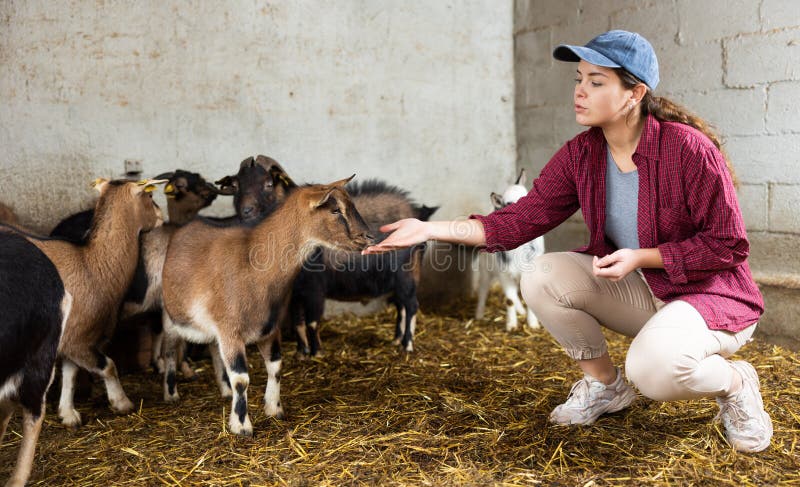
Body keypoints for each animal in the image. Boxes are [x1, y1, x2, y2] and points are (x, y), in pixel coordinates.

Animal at [14, 179, 164, 427]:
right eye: (150, 197)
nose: (162, 216)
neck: (92, 262)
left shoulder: (73, 338)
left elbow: (70, 375)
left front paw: (68, 413)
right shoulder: (79, 340)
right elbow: (109, 366)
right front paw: (122, 403)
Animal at [160, 177, 372, 436]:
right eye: (335, 210)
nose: (368, 237)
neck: (253, 266)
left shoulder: (270, 328)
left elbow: (275, 366)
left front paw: (274, 409)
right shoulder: (231, 331)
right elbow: (242, 378)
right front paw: (242, 426)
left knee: (213, 349)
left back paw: (224, 391)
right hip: (170, 316)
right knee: (169, 351)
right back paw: (171, 394)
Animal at [290, 180, 438, 355]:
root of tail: (418, 214)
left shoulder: (315, 288)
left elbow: (312, 322)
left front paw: (317, 353)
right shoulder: (293, 294)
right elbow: (297, 321)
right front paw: (302, 352)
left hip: (407, 275)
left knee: (411, 305)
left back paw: (407, 345)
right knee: (401, 305)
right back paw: (396, 340)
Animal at [474, 169, 544, 331]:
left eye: (527, 196)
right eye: (509, 204)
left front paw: (533, 324)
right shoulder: (504, 272)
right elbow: (509, 300)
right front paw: (511, 325)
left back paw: (521, 311)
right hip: (486, 268)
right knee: (483, 289)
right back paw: (479, 315)